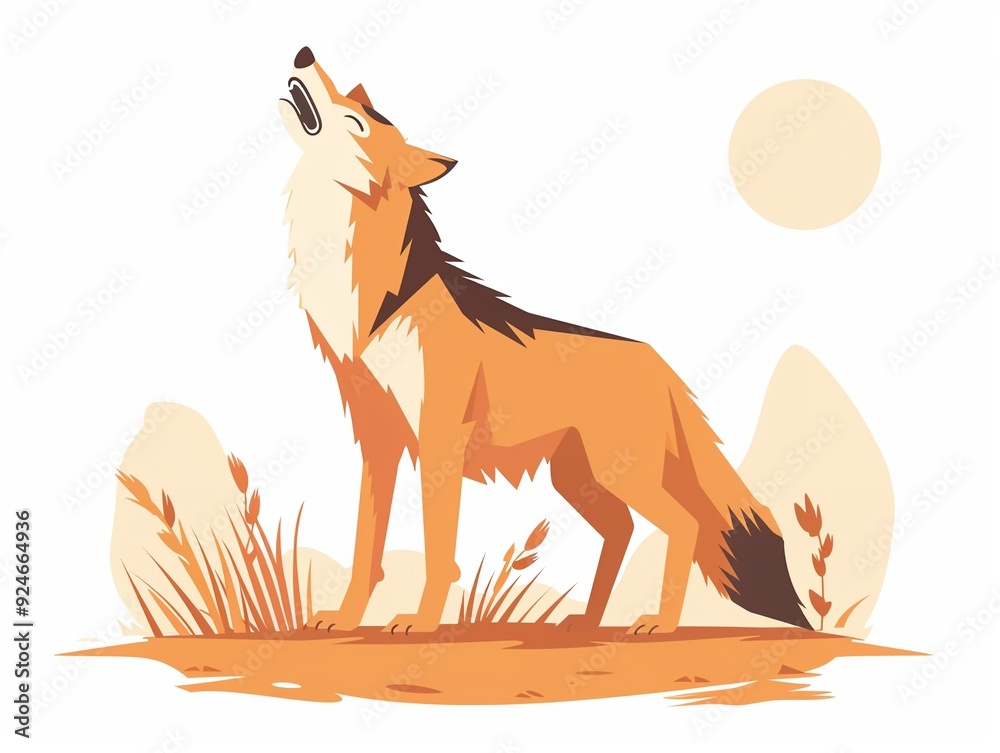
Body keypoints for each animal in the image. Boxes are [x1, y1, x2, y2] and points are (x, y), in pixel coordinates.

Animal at [279, 47, 810, 634]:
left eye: (355, 121)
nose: (304, 54)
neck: (378, 307)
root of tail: (661, 364)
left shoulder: (438, 442)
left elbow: (439, 548)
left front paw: (422, 622)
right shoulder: (378, 442)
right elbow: (365, 544)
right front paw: (348, 618)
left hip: (618, 474)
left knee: (683, 525)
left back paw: (658, 624)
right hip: (578, 478)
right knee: (623, 529)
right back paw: (588, 623)